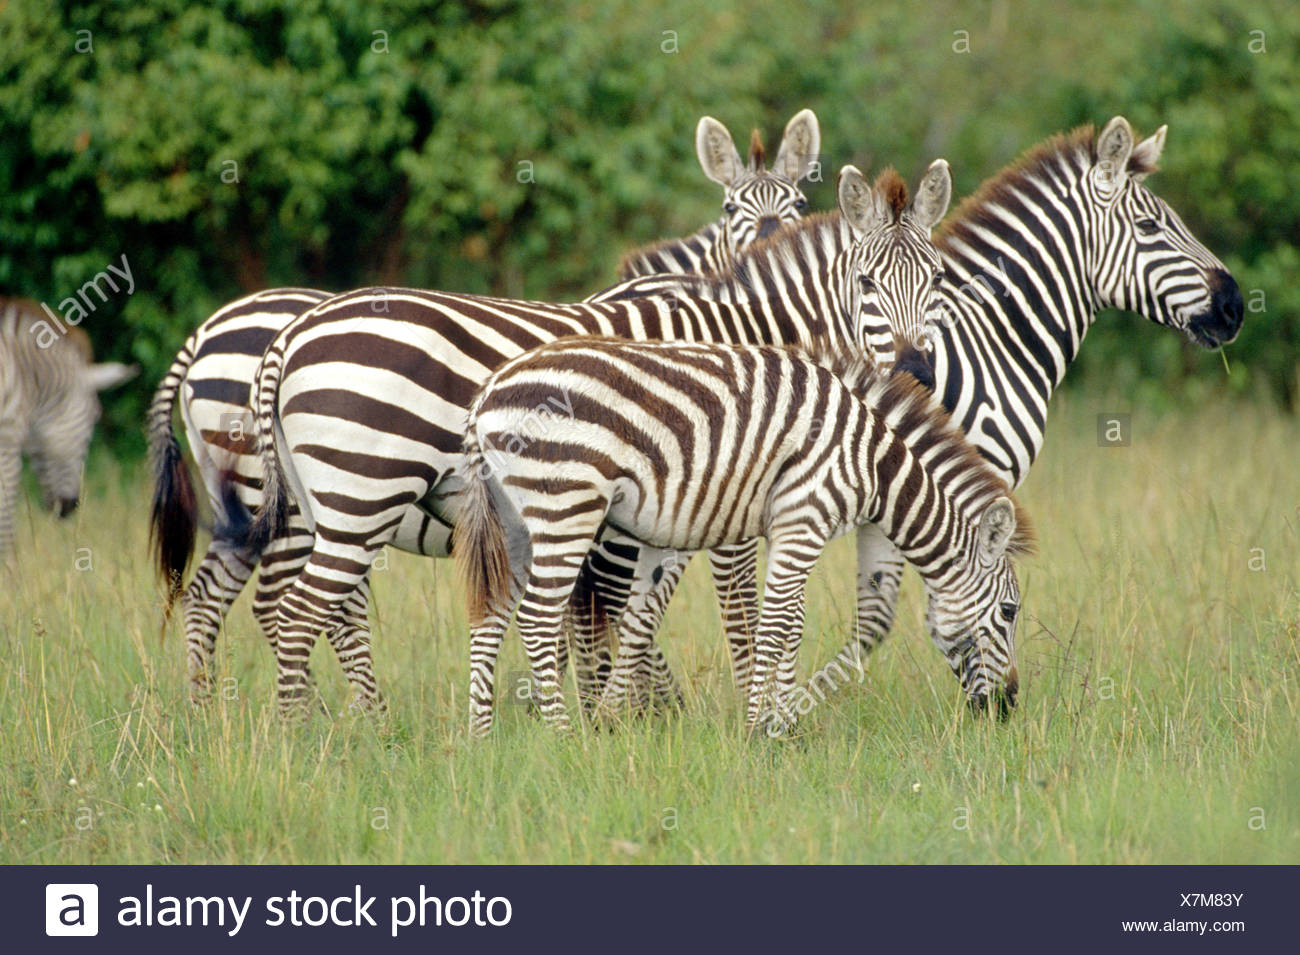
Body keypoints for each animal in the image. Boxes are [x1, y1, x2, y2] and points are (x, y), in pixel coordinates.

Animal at [222, 160, 955, 718]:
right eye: (866, 283)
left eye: (938, 280)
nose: (918, 375)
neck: (748, 333)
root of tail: (295, 332)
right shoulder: (730, 485)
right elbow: (740, 610)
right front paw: (745, 714)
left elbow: (633, 611)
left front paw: (625, 714)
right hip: (363, 488)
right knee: (297, 612)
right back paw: (303, 740)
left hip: (326, 506)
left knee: (324, 612)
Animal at [454, 337, 1034, 735]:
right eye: (1010, 611)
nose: (1009, 707)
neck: (873, 460)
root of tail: (487, 394)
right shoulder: (805, 516)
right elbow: (776, 624)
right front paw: (760, 728)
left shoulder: (788, 526)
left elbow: (792, 623)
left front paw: (785, 722)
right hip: (566, 504)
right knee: (537, 617)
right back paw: (563, 735)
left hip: (514, 520)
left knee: (491, 613)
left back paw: (481, 738)